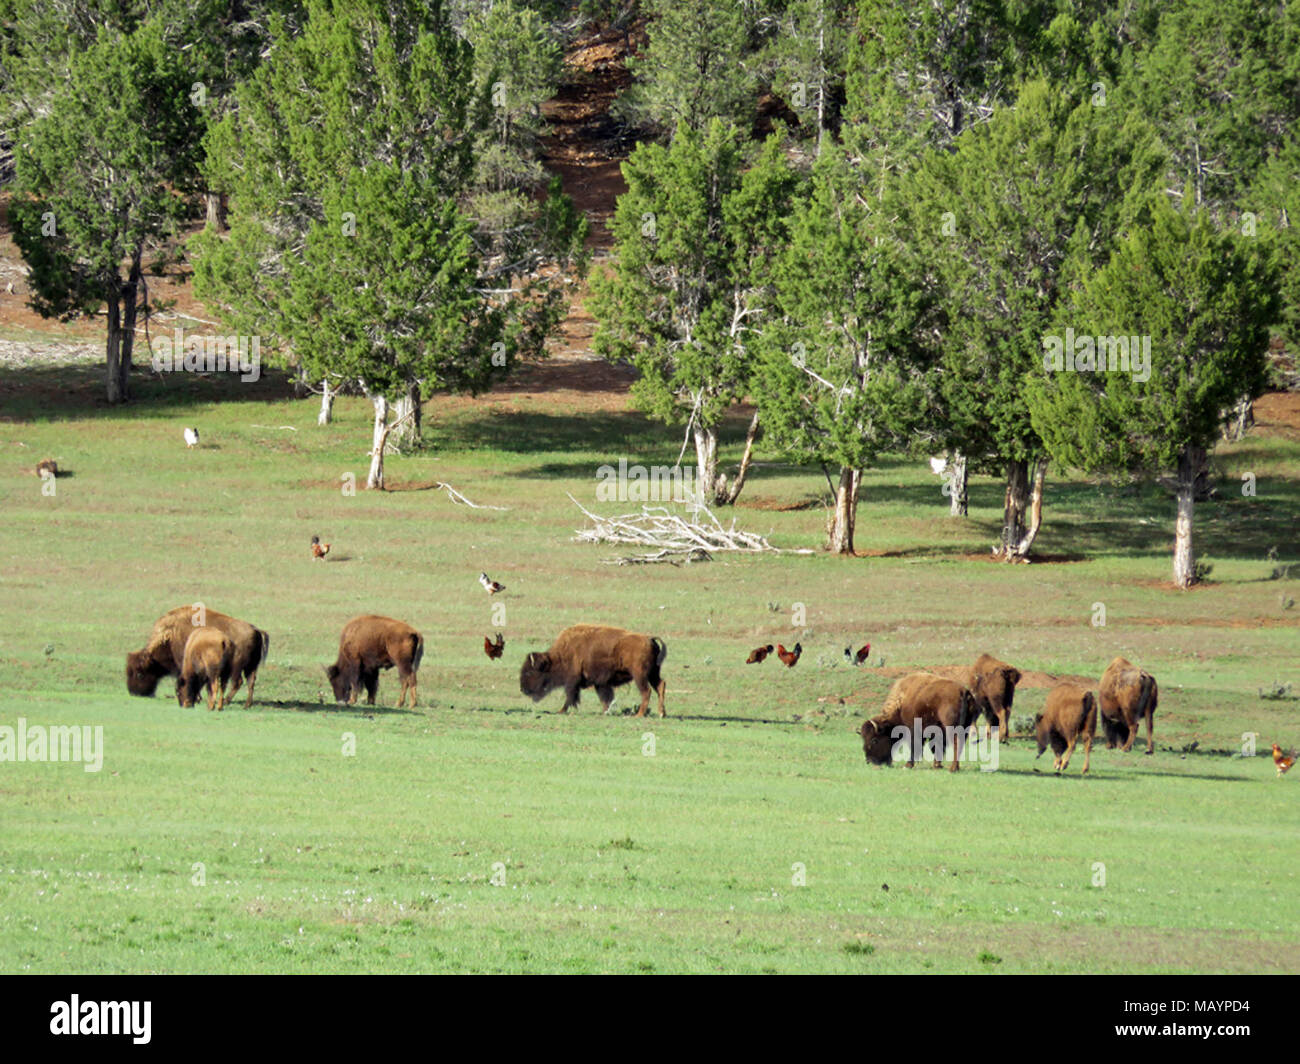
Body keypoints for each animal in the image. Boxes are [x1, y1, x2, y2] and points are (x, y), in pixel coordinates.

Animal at [520, 624, 667, 717]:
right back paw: (662, 713)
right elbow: (605, 698)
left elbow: (570, 697)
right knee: (660, 686)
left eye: (529, 672)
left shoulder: (573, 681)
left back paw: (639, 714)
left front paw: (561, 711)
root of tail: (649, 639)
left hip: (640, 675)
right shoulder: (600, 683)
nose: (523, 689)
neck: (560, 655)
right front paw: (606, 712)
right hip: (653, 673)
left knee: (646, 691)